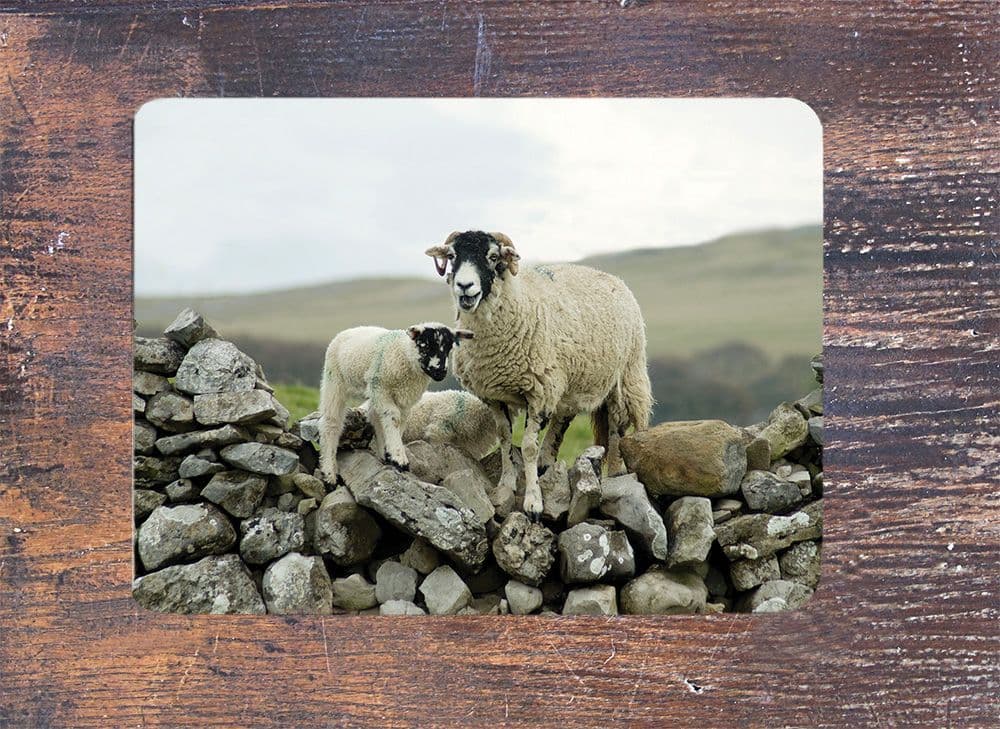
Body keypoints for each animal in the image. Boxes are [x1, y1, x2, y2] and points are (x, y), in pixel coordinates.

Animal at [318, 323, 473, 483]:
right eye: (425, 345)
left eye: (449, 348)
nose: (440, 373)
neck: (404, 354)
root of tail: (351, 330)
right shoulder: (381, 388)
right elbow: (393, 418)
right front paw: (400, 458)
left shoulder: (404, 398)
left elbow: (401, 421)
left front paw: (392, 453)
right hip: (335, 381)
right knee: (331, 423)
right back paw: (329, 473)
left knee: (375, 417)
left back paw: (383, 454)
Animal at [425, 230, 653, 520]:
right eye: (453, 255)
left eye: (493, 256)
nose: (465, 286)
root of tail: (612, 277)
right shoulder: (495, 396)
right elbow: (505, 440)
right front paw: (505, 487)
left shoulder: (540, 393)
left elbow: (528, 447)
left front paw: (533, 502)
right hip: (570, 381)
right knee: (563, 420)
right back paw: (548, 460)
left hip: (626, 376)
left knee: (617, 429)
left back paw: (614, 473)